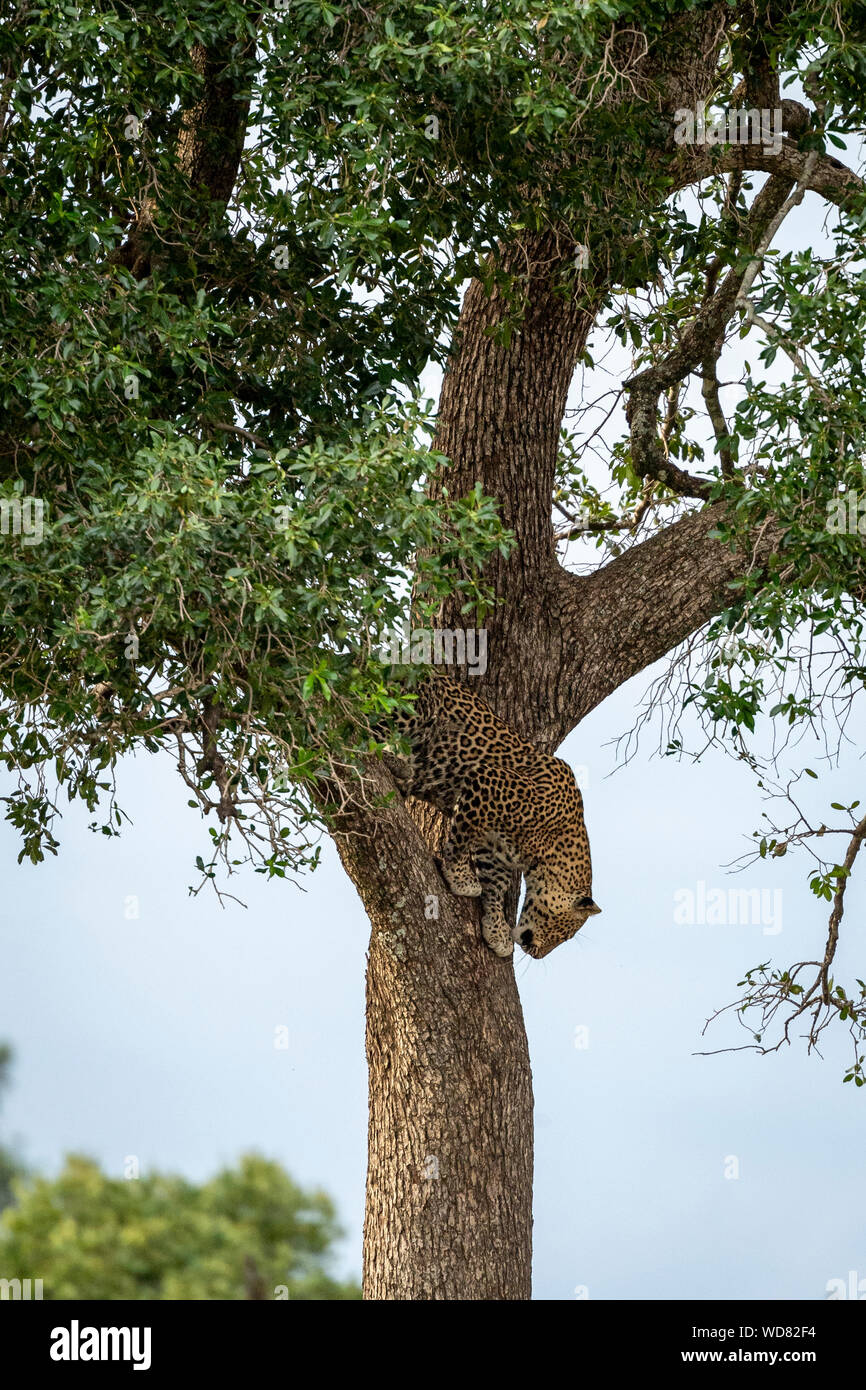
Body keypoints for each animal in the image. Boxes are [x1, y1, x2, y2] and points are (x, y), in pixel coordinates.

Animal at [378, 671, 600, 960]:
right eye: (564, 933)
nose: (538, 955)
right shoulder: (486, 782)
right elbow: (460, 841)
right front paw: (460, 877)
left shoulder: (495, 847)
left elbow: (496, 885)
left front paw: (497, 930)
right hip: (413, 707)